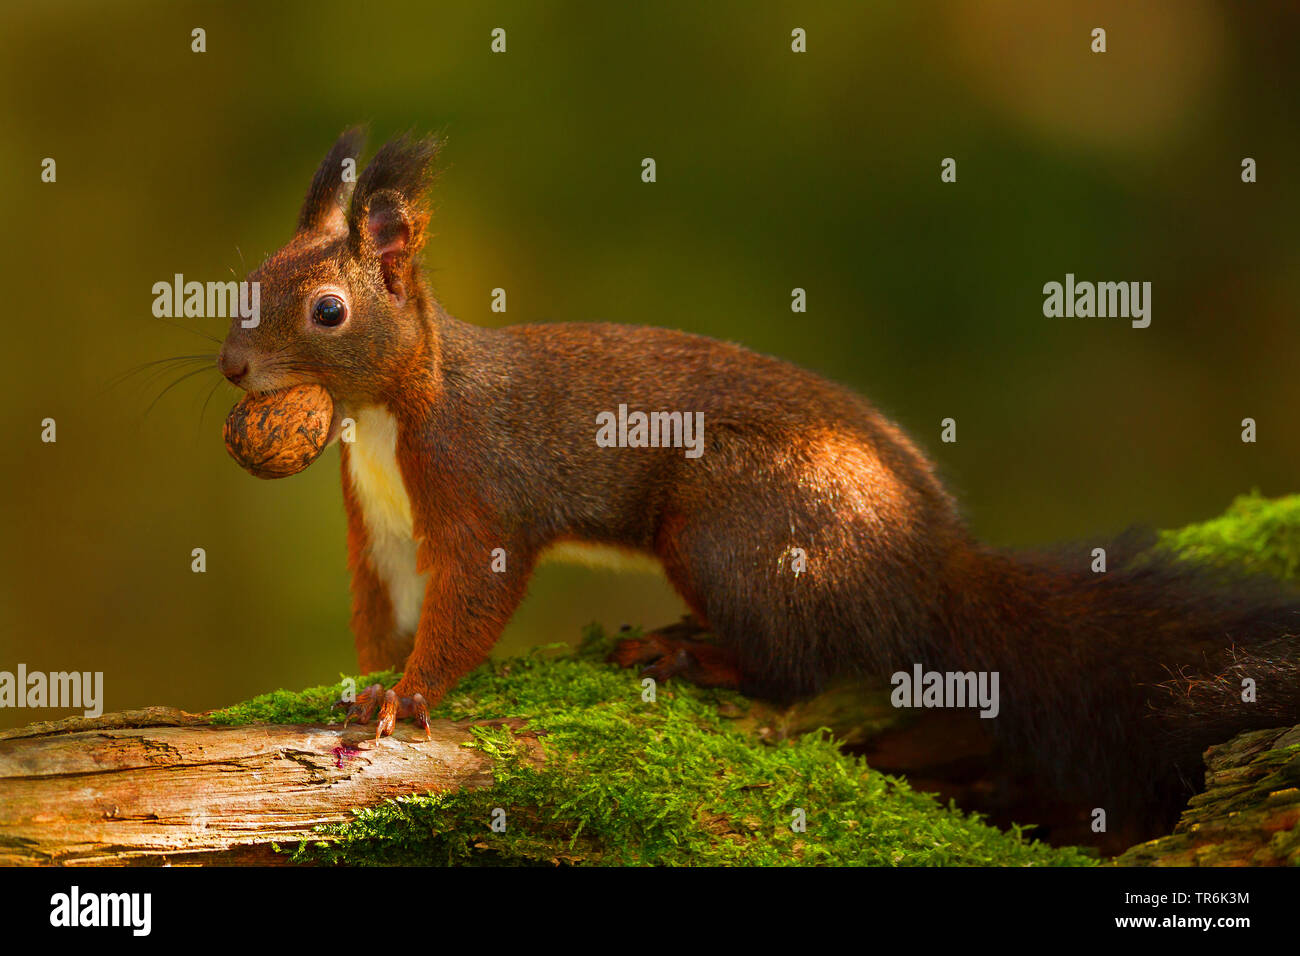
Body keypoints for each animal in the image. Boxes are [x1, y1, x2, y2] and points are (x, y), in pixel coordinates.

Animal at [219, 128, 1300, 840]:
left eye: (326, 309)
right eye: (248, 277)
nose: (230, 367)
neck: (382, 416)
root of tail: (931, 558)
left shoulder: (477, 485)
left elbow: (470, 601)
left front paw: (406, 697)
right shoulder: (380, 524)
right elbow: (388, 605)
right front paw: (364, 680)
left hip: (740, 516)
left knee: (801, 666)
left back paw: (696, 655)